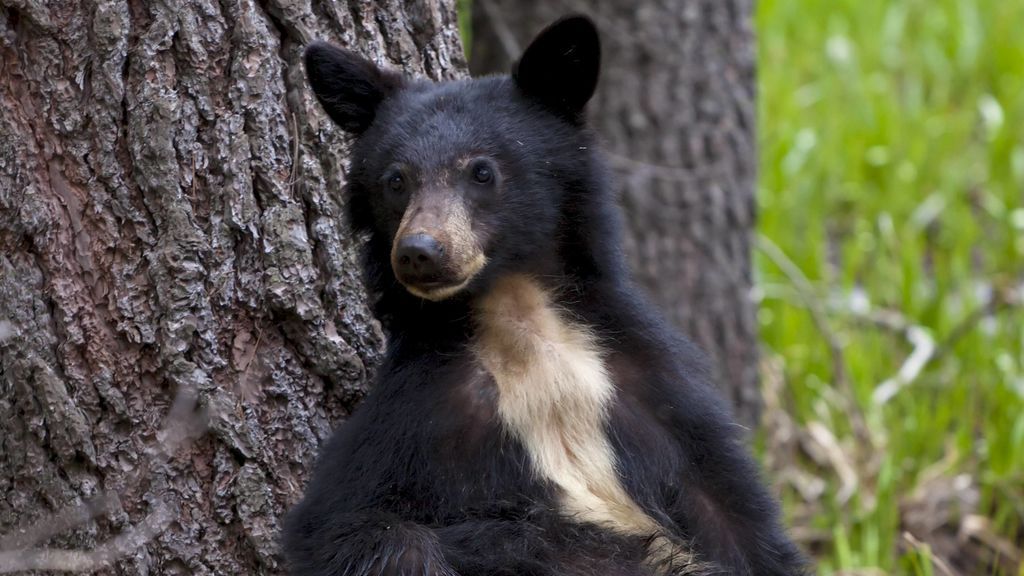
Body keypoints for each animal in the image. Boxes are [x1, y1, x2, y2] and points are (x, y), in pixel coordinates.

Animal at [283, 15, 806, 576]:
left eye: (482, 171)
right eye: (395, 180)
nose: (419, 252)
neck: (521, 319)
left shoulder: (654, 397)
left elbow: (738, 522)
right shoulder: (418, 416)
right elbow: (346, 522)